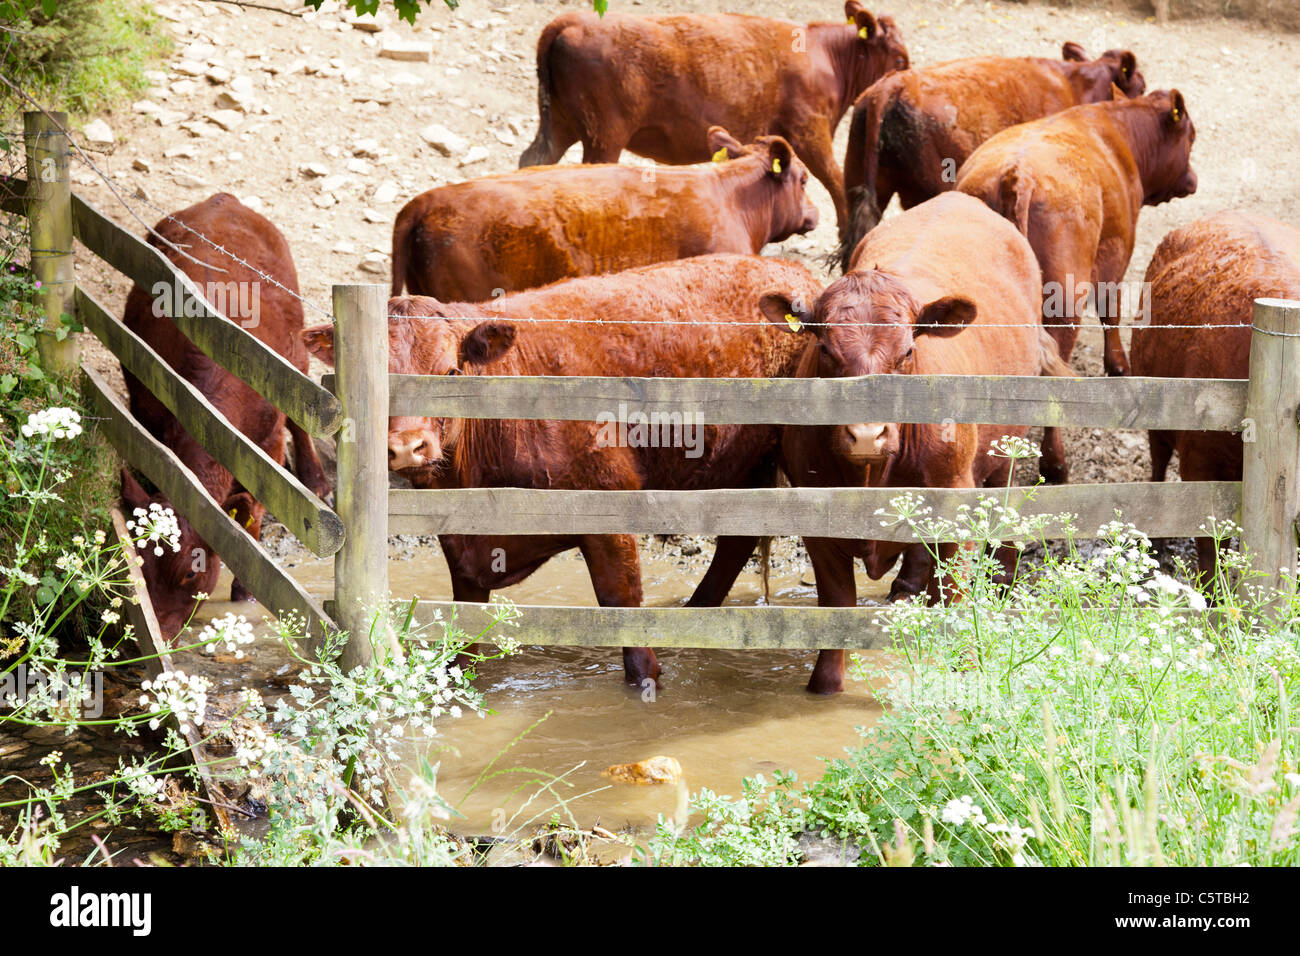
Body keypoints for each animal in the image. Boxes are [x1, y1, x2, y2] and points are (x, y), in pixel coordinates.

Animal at [119, 193, 331, 640]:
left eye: (189, 573)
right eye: (141, 562)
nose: (156, 635)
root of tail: (222, 200)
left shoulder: (268, 443)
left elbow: (251, 517)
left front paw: (246, 591)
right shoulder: (146, 413)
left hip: (299, 352)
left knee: (304, 407)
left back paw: (316, 481)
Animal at [302, 254, 826, 689]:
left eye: (451, 373)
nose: (408, 448)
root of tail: (789, 268)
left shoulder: (609, 512)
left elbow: (622, 609)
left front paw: (648, 678)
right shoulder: (462, 546)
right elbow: (465, 627)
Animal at [518, 2, 908, 237]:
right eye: (900, 59)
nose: (907, 77)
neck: (822, 54)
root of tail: (571, 20)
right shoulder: (810, 134)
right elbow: (839, 185)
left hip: (563, 127)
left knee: (533, 158)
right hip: (604, 138)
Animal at [756, 193, 1073, 694]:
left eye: (906, 351)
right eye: (825, 349)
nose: (867, 434)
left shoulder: (957, 498)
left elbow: (956, 596)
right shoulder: (817, 522)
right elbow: (836, 611)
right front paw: (824, 687)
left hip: (1004, 447)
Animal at [957, 88, 1198, 483]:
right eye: (1190, 137)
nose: (1192, 178)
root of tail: (1015, 174)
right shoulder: (1116, 253)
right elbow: (1111, 311)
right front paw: (1119, 367)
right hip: (1064, 303)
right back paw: (1055, 464)